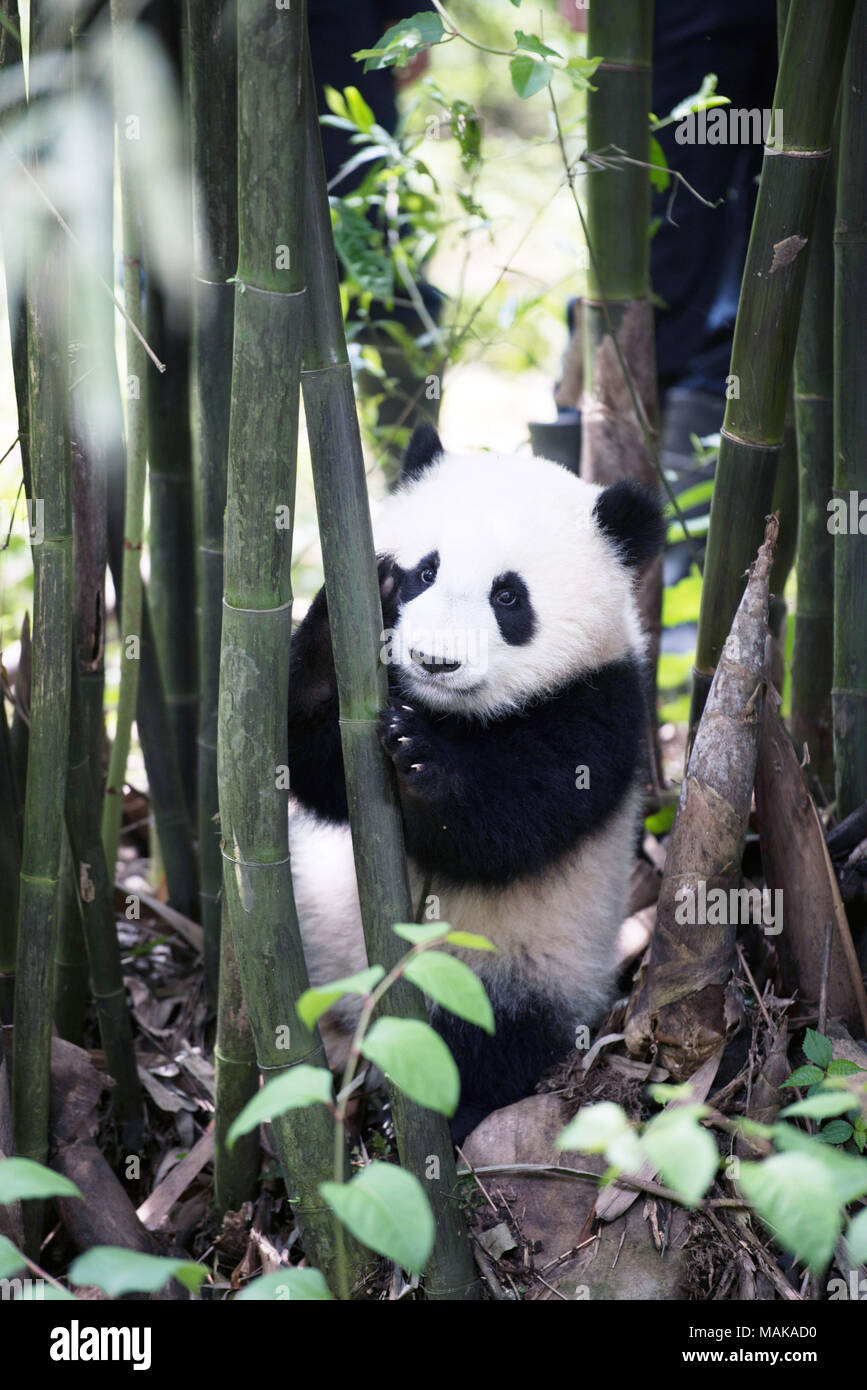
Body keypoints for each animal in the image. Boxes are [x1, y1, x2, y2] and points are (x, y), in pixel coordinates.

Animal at [286, 424, 664, 1143]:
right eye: (425, 572)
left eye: (508, 596)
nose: (434, 660)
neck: (450, 710)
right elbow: (315, 770)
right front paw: (337, 632)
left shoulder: (603, 703)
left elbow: (512, 824)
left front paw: (422, 760)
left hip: (515, 965)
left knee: (488, 1038)